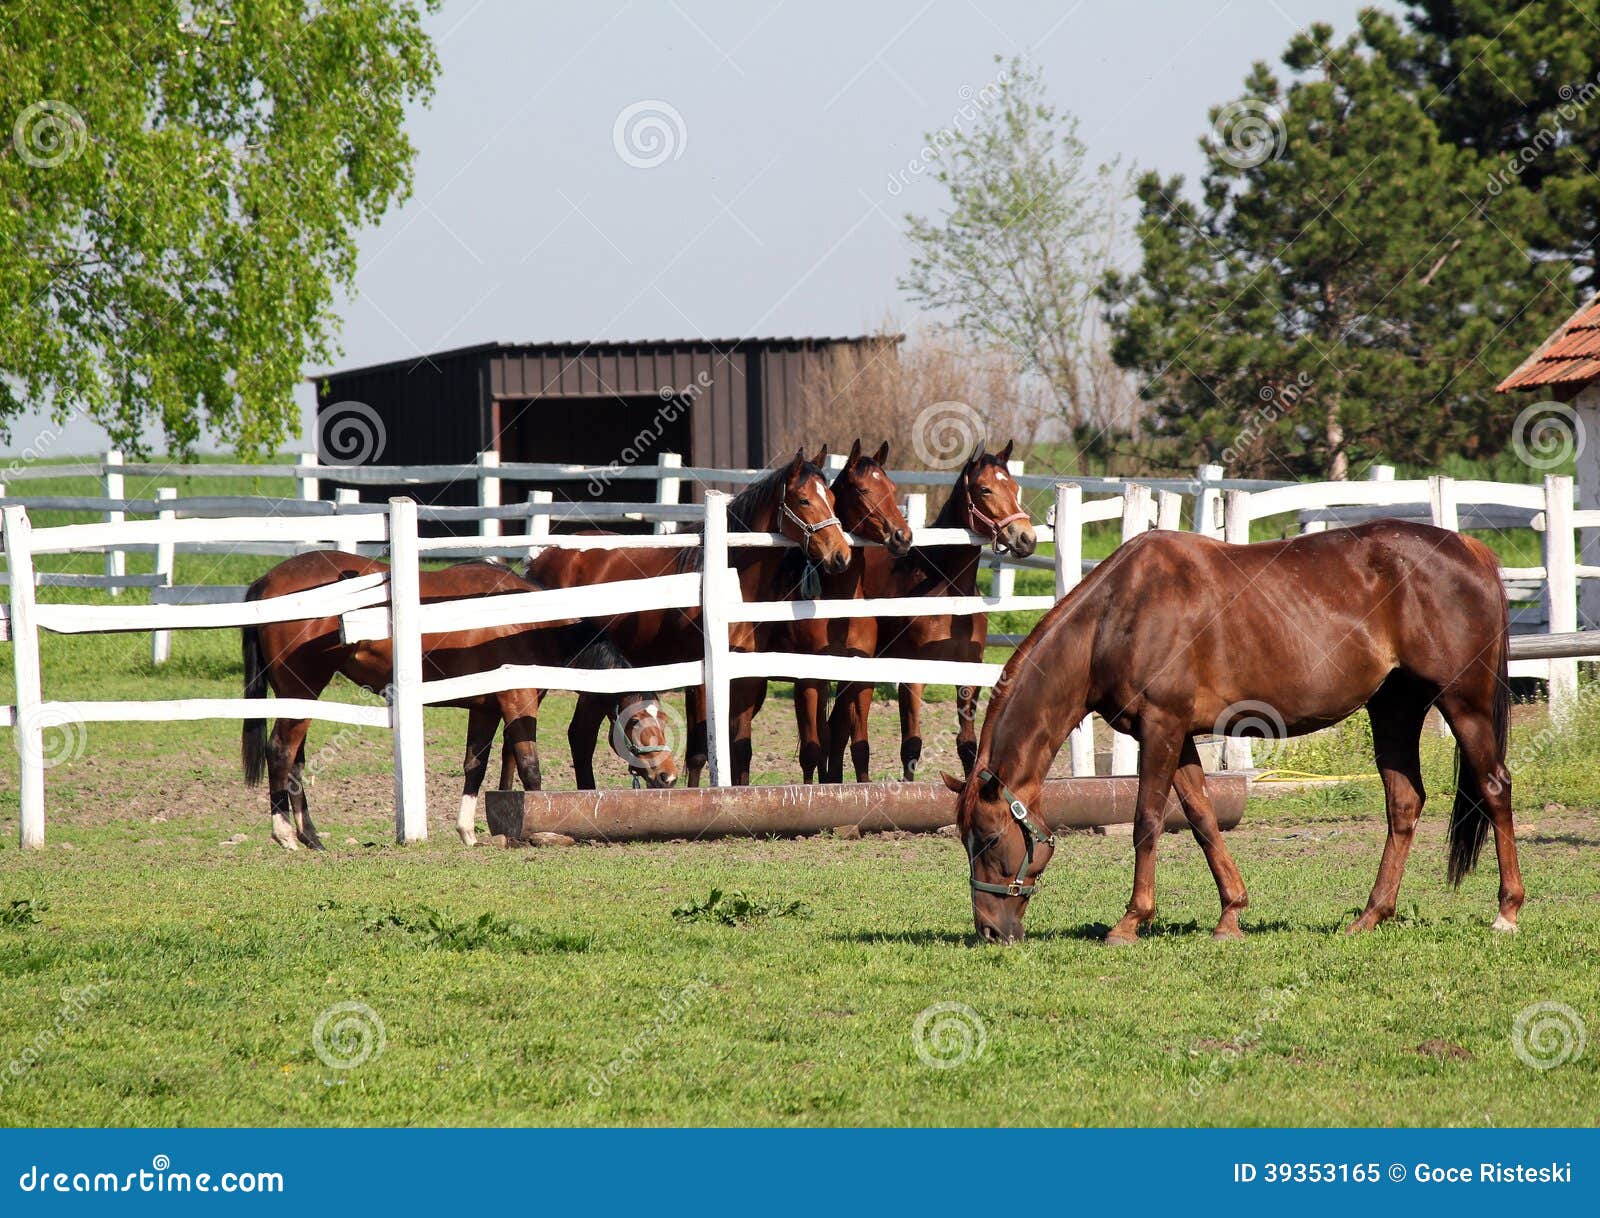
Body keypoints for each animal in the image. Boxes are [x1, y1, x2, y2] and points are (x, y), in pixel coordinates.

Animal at [241, 551, 677, 851]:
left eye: (663, 721)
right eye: (635, 724)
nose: (668, 776)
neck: (528, 621)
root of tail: (267, 581)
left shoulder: (485, 709)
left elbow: (476, 766)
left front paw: (471, 831)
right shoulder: (518, 702)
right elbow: (530, 768)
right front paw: (539, 828)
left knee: (295, 760)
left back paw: (311, 836)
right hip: (301, 691)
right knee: (281, 752)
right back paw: (286, 835)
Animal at [520, 446, 853, 787]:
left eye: (832, 498)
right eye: (803, 500)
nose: (841, 555)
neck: (728, 582)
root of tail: (542, 559)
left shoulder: (745, 680)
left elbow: (739, 748)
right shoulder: (701, 681)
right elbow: (699, 753)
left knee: (581, 736)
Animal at [768, 440, 912, 781]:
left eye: (891, 487)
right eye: (861, 490)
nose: (902, 537)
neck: (838, 607)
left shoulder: (855, 679)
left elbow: (856, 747)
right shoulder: (808, 681)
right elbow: (811, 750)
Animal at [825, 440, 1036, 783]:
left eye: (1015, 488)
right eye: (984, 489)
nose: (1026, 538)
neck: (949, 597)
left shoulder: (967, 673)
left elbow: (967, 744)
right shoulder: (912, 677)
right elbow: (911, 746)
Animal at [946, 520, 1518, 945]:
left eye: (989, 838)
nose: (990, 931)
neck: (1116, 614)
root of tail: (1470, 550)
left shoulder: (1161, 727)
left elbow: (1146, 821)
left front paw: (1131, 921)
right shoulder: (1177, 735)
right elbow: (1202, 819)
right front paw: (1230, 915)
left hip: (1463, 704)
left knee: (1494, 787)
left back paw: (1507, 911)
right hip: (1394, 709)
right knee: (1404, 802)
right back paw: (1371, 915)